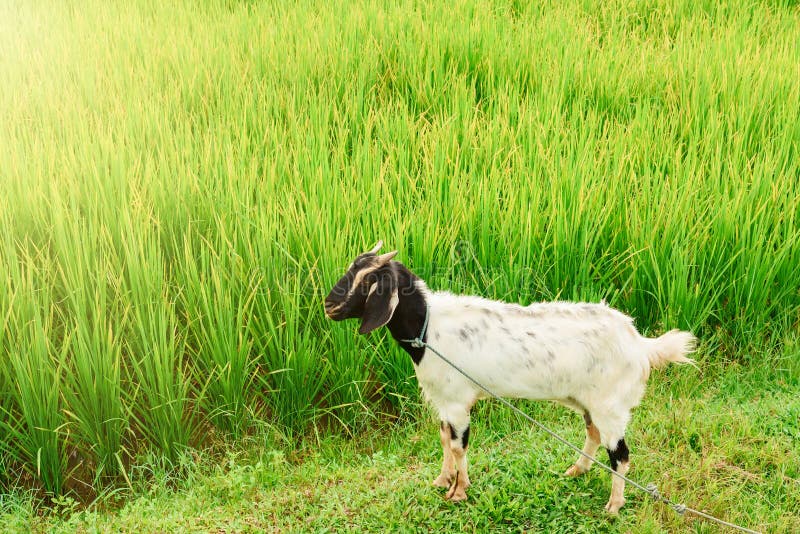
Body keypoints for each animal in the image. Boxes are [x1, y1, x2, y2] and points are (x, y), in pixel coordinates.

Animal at [324, 242, 696, 513]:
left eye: (367, 281)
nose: (328, 305)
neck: (428, 330)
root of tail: (640, 343)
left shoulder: (458, 402)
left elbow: (458, 446)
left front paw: (459, 492)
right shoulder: (442, 400)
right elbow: (444, 440)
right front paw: (443, 481)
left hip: (611, 404)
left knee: (620, 455)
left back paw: (614, 505)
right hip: (587, 399)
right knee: (593, 432)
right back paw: (577, 470)